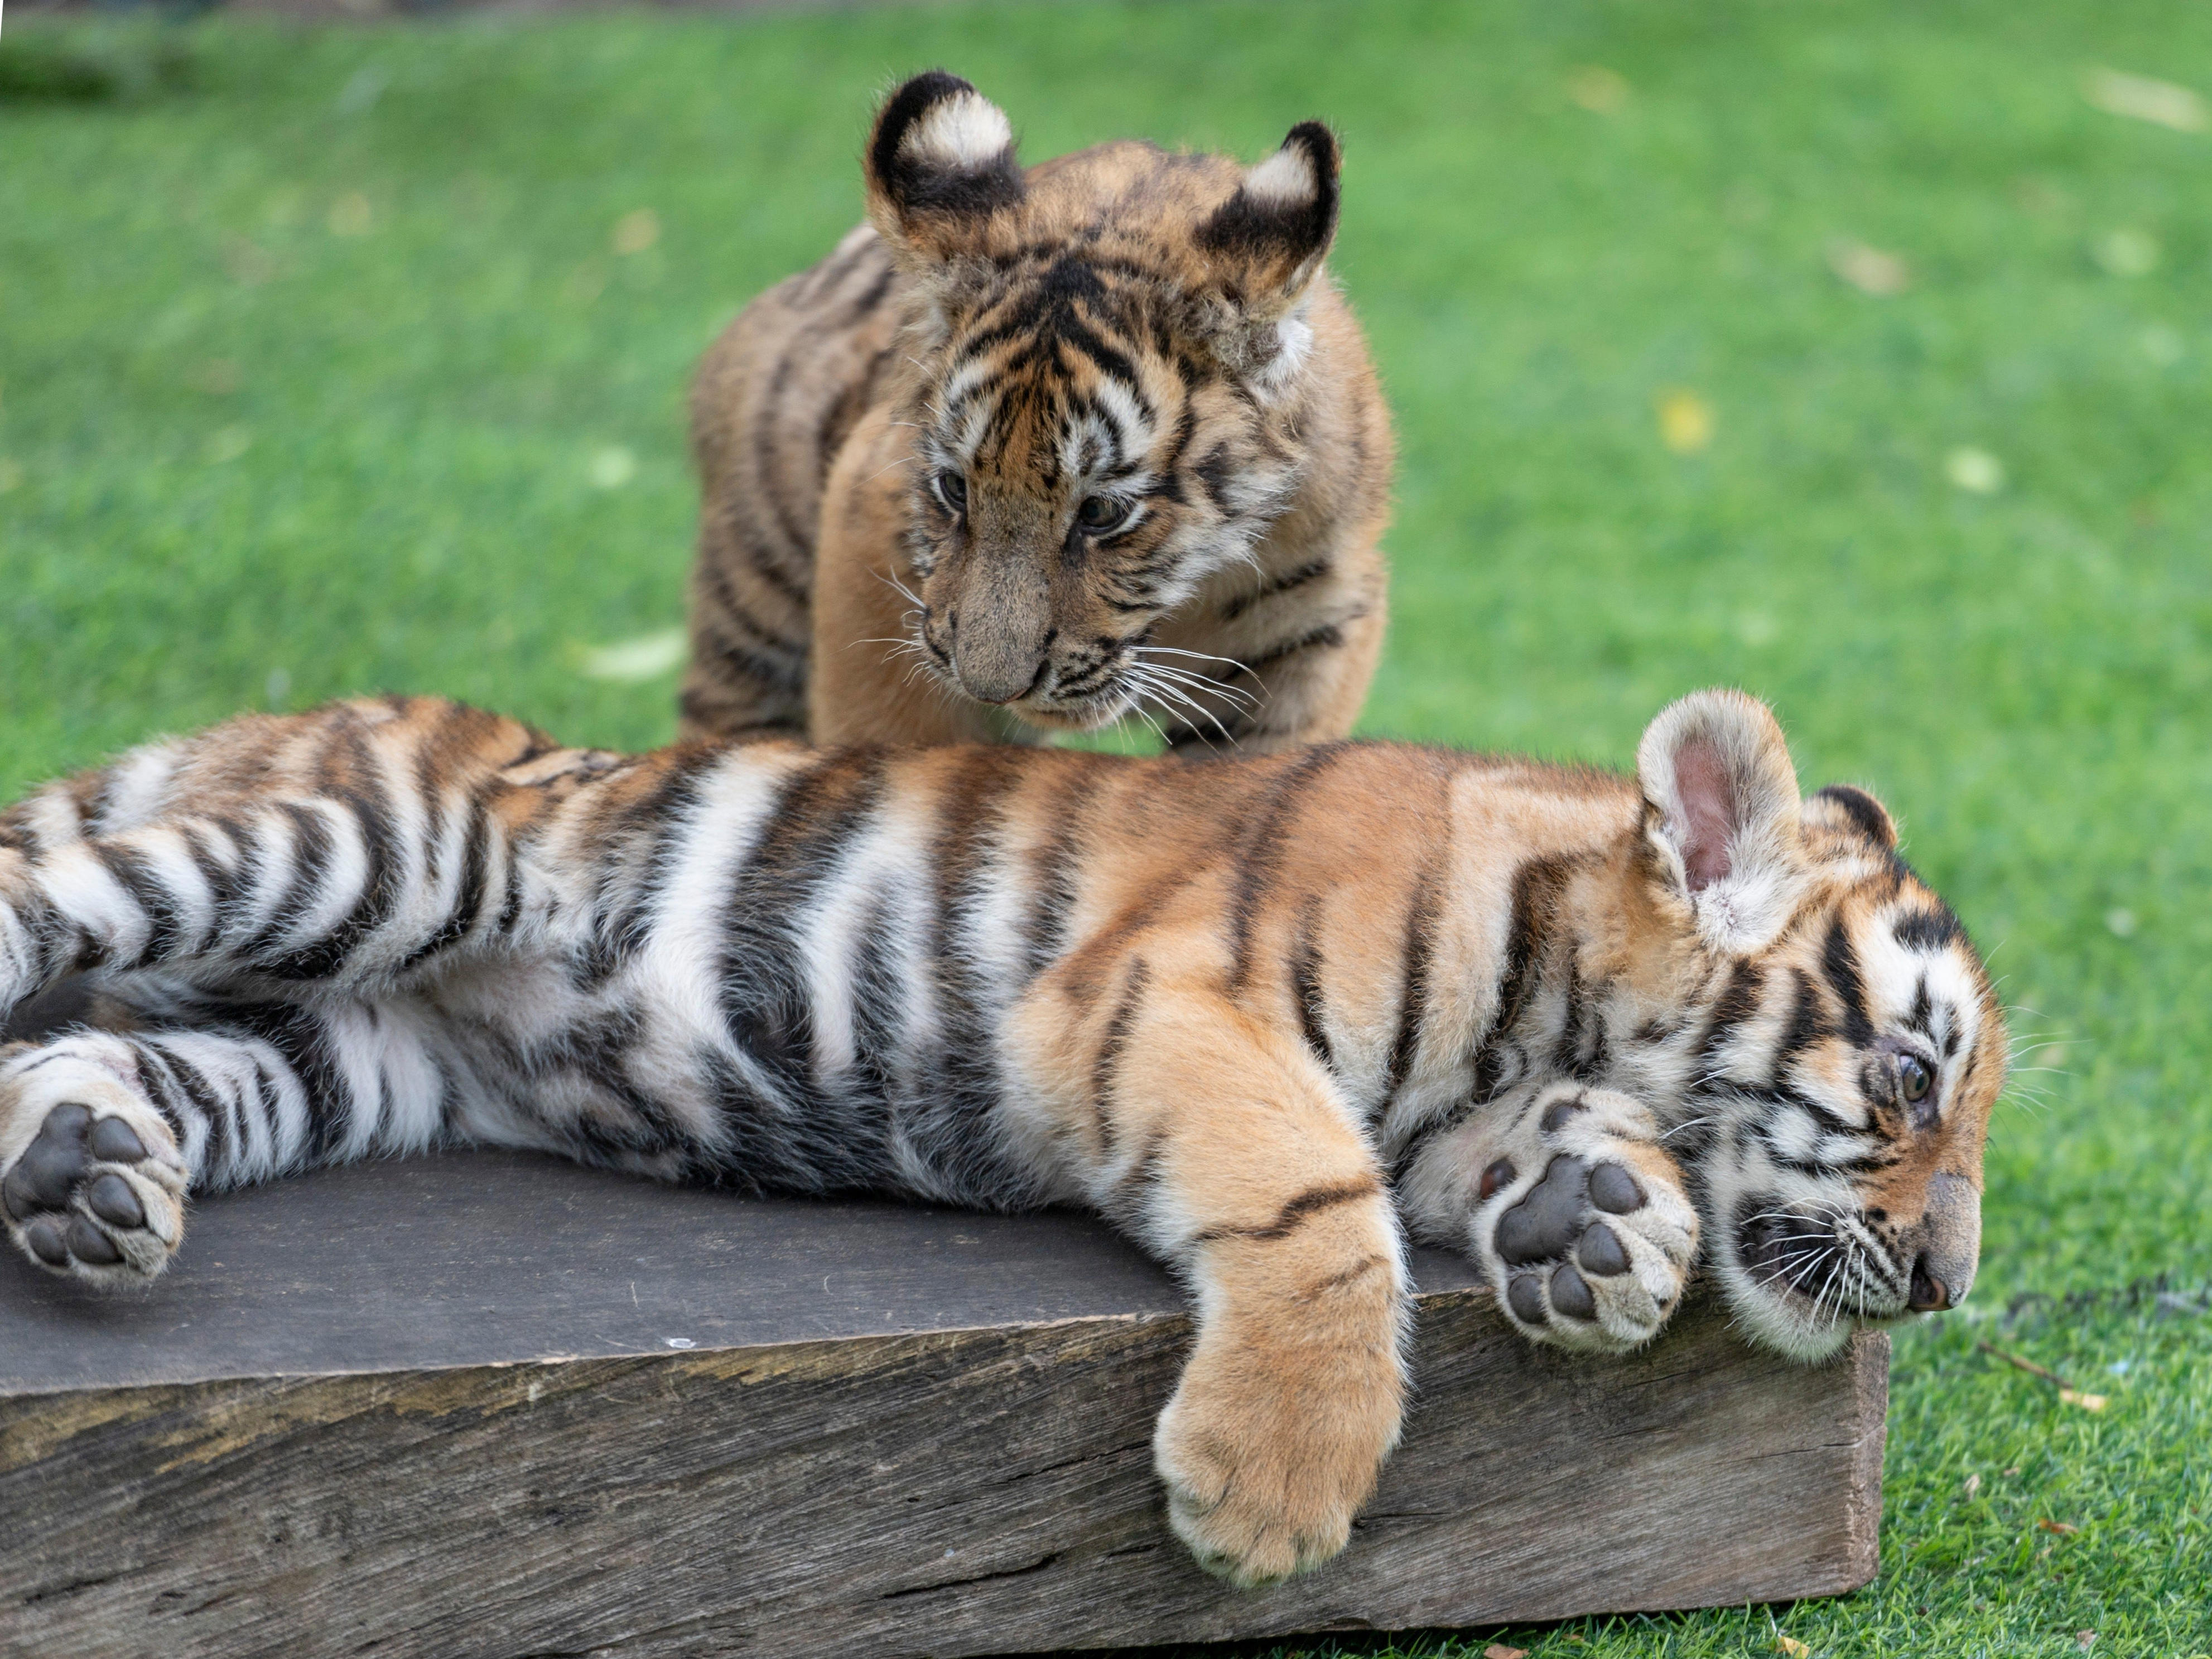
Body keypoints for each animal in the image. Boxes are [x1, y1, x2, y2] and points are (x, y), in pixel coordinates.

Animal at [0, 687, 2003, 1587]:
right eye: (1909, 1080)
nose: (1947, 1279)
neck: (1563, 988)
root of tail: (268, 720)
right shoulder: (1160, 1000)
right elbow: (1317, 1206)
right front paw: (1267, 1491)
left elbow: (1512, 1156)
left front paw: (1597, 1222)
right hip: (376, 851)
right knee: (41, 910)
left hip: (338, 1047)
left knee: (95, 1052)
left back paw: (85, 1179)